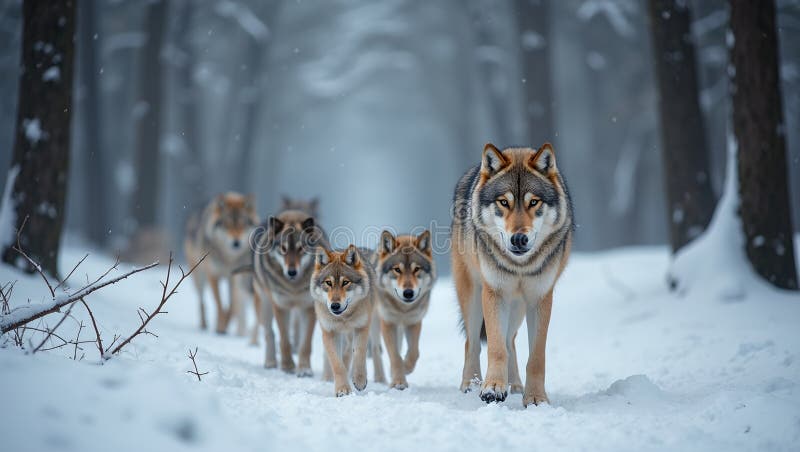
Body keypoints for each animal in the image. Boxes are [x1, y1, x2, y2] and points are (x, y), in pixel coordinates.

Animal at [184, 192, 259, 334]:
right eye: (227, 225)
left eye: (242, 224)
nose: (236, 243)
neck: (228, 258)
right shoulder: (213, 275)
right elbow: (219, 304)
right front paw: (220, 328)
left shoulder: (235, 278)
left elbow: (231, 307)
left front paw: (224, 326)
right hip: (199, 277)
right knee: (201, 300)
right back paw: (204, 324)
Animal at [252, 209, 323, 375]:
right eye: (283, 249)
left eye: (300, 249)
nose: (292, 272)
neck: (293, 288)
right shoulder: (281, 307)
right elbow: (284, 340)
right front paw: (287, 366)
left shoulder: (308, 308)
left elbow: (305, 344)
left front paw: (304, 369)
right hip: (264, 307)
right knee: (269, 334)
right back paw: (270, 362)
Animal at [311, 244, 381, 396]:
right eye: (328, 283)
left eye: (345, 282)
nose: (335, 305)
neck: (343, 318)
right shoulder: (329, 333)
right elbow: (337, 364)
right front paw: (342, 389)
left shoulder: (362, 327)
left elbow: (359, 353)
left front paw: (359, 381)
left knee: (350, 351)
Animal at [373, 230, 436, 389]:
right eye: (397, 270)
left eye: (416, 269)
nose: (408, 293)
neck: (403, 309)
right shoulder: (388, 323)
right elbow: (394, 355)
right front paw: (398, 382)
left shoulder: (413, 322)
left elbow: (414, 352)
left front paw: (405, 368)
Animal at [451, 142, 573, 407]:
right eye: (504, 202)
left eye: (534, 202)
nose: (518, 238)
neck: (520, 266)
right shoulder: (495, 294)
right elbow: (495, 348)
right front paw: (492, 388)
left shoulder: (540, 299)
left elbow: (536, 357)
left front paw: (536, 398)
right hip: (474, 298)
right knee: (472, 342)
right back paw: (471, 384)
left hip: (518, 306)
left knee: (510, 342)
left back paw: (515, 386)